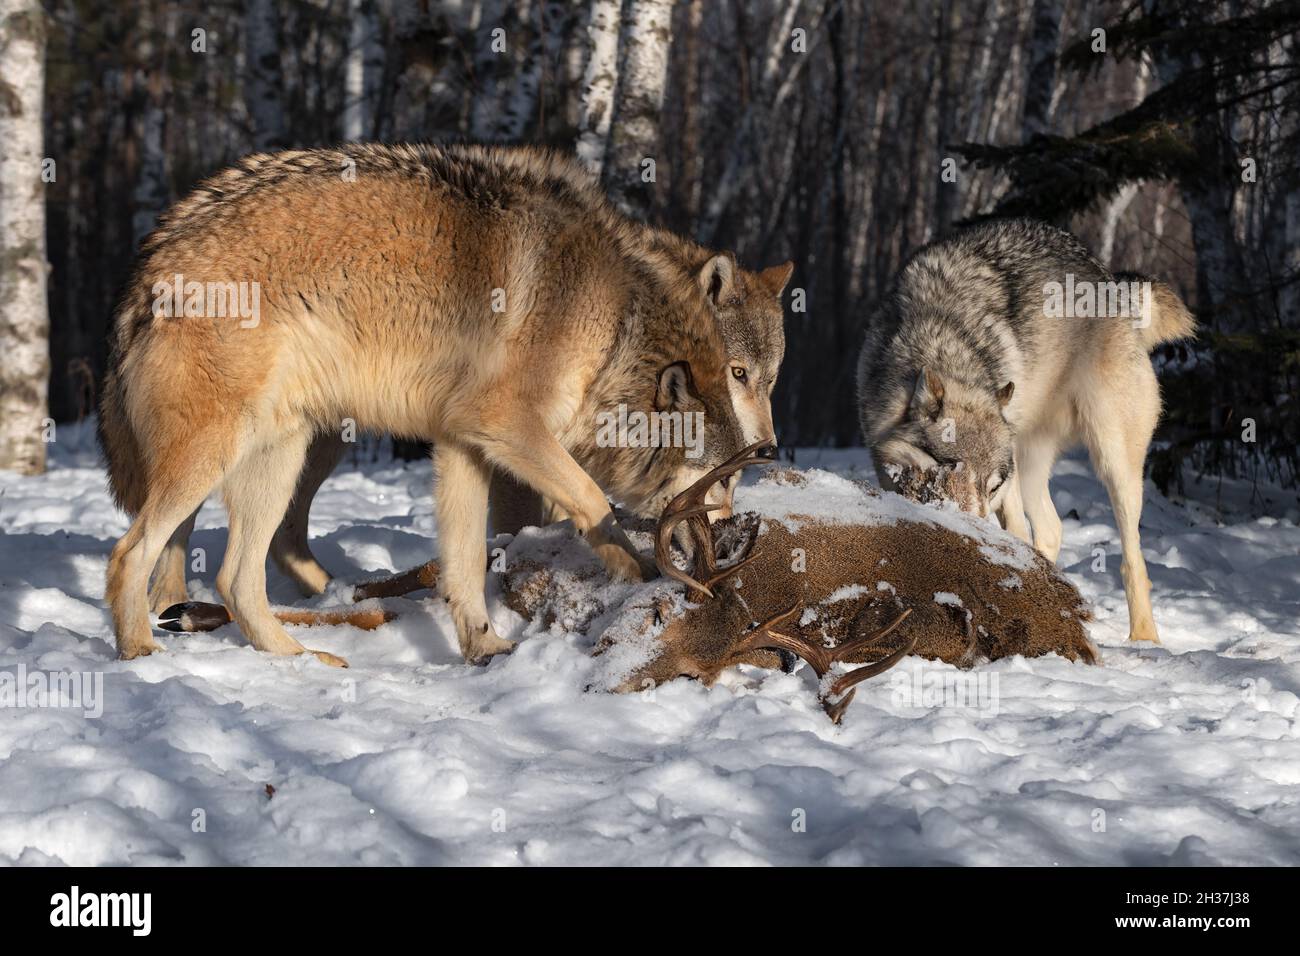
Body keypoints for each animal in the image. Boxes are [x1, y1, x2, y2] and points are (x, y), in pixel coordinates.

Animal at [99, 143, 756, 667]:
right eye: (719, 483)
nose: (730, 539)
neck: (616, 326)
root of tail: (153, 261)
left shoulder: (464, 443)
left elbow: (464, 563)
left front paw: (484, 647)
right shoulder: (507, 424)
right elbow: (595, 502)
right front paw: (635, 572)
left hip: (281, 456)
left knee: (236, 580)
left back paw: (304, 660)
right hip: (217, 453)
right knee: (132, 553)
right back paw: (141, 652)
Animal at [159, 443, 1098, 722]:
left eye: (693, 676)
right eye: (653, 619)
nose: (609, 688)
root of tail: (1079, 622)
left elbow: (394, 608)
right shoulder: (533, 547)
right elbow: (383, 591)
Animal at [856, 218, 1195, 644]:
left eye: (991, 487)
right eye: (952, 468)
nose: (972, 534)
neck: (942, 338)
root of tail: (1112, 285)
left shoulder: (1007, 490)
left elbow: (1012, 539)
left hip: (1112, 463)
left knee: (1132, 560)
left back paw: (1144, 638)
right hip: (1032, 462)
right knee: (1050, 531)